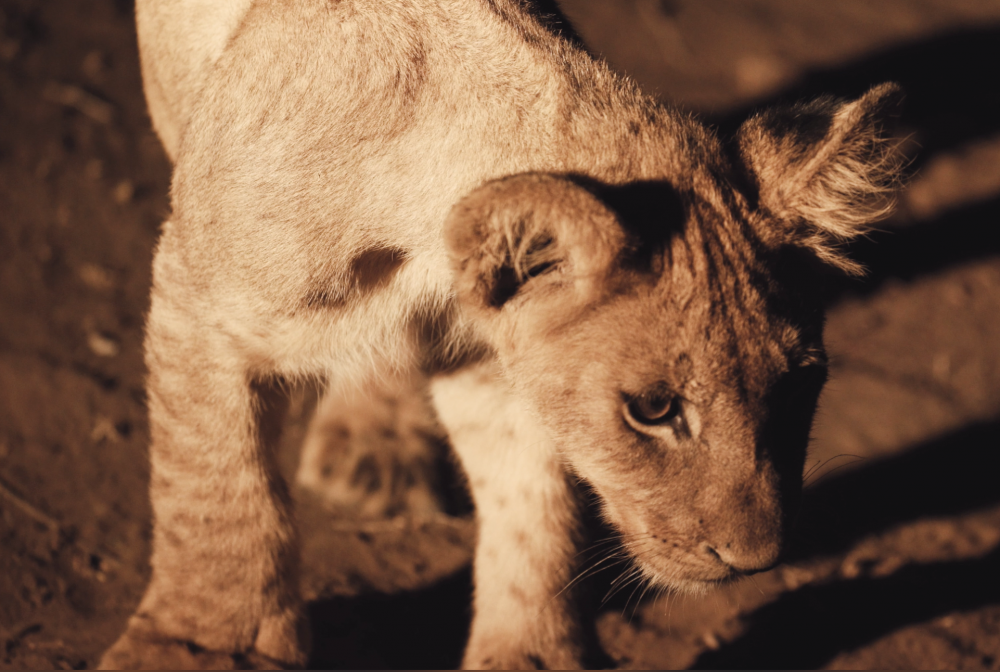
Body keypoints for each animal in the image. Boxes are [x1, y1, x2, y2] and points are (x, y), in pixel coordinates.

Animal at [100, 0, 903, 668]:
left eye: (802, 383)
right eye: (653, 409)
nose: (757, 559)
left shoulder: (496, 368)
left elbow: (533, 511)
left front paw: (530, 656)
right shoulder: (199, 304)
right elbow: (218, 495)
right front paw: (198, 648)